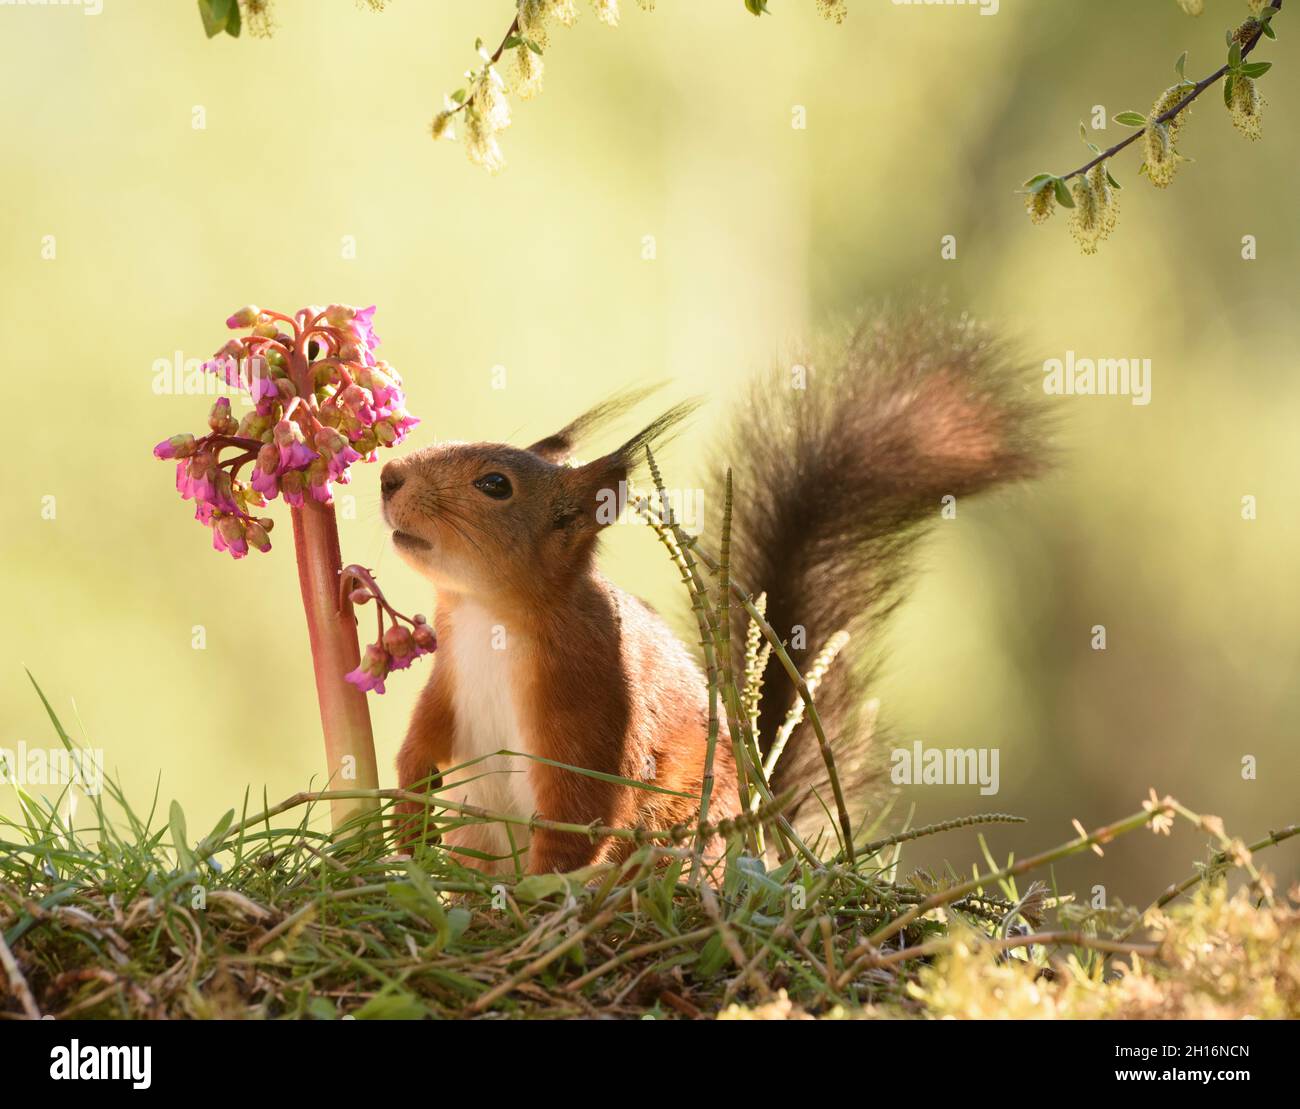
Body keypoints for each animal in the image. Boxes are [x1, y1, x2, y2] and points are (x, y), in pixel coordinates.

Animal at [381, 305, 1042, 874]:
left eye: (495, 485)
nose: (389, 475)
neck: (486, 616)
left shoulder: (591, 702)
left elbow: (580, 816)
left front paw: (529, 904)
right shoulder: (448, 680)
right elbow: (417, 743)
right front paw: (408, 825)